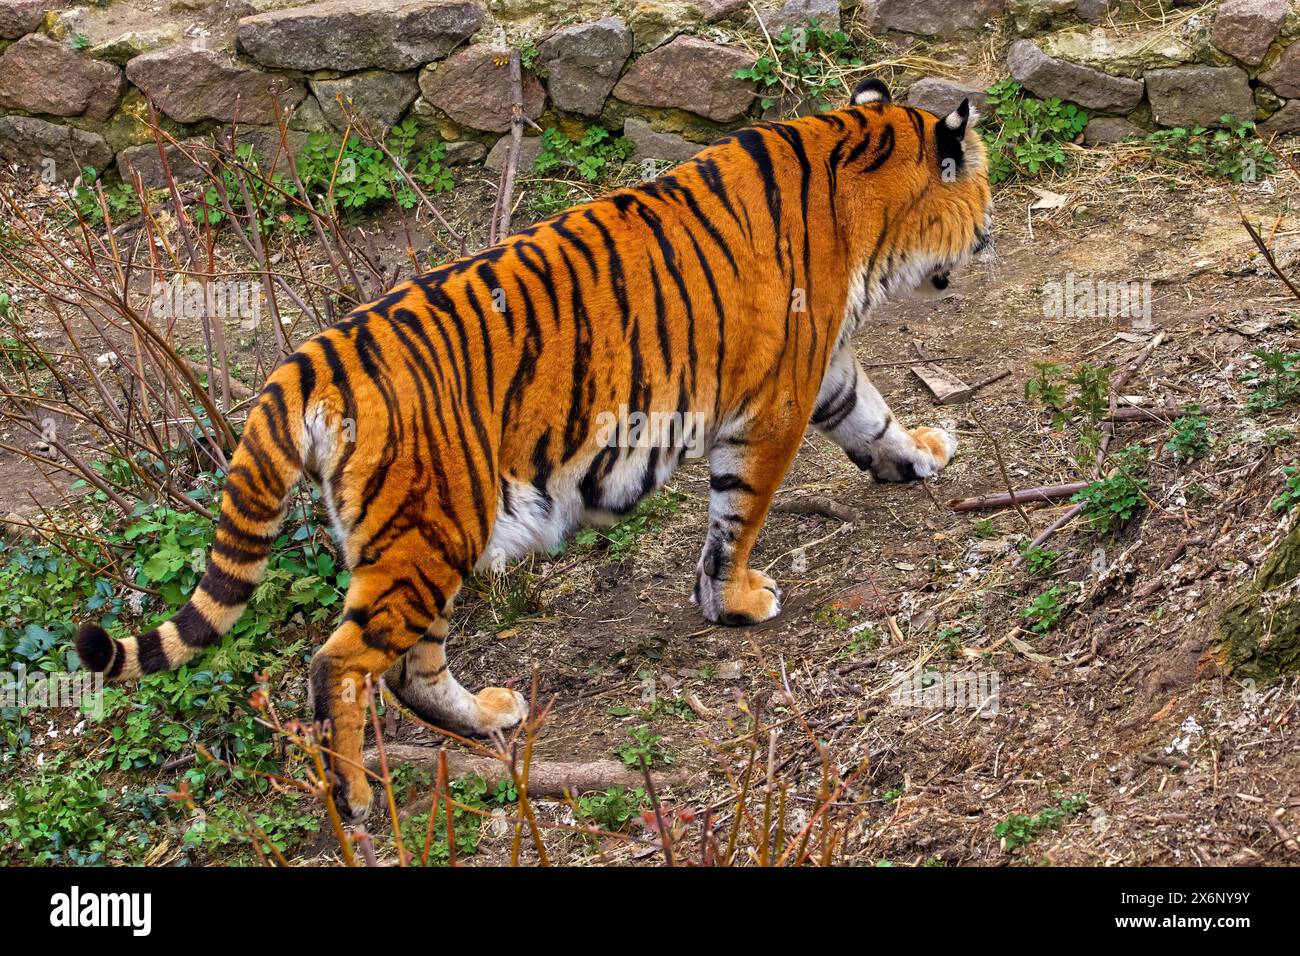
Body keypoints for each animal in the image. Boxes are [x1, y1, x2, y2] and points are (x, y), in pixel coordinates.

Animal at [74, 78, 993, 822]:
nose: (990, 234)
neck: (861, 191)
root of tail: (309, 360)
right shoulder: (775, 403)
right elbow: (739, 514)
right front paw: (735, 600)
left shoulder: (823, 371)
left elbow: (870, 416)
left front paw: (919, 453)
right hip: (429, 532)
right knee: (340, 663)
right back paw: (359, 796)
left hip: (423, 536)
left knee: (408, 667)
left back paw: (488, 717)